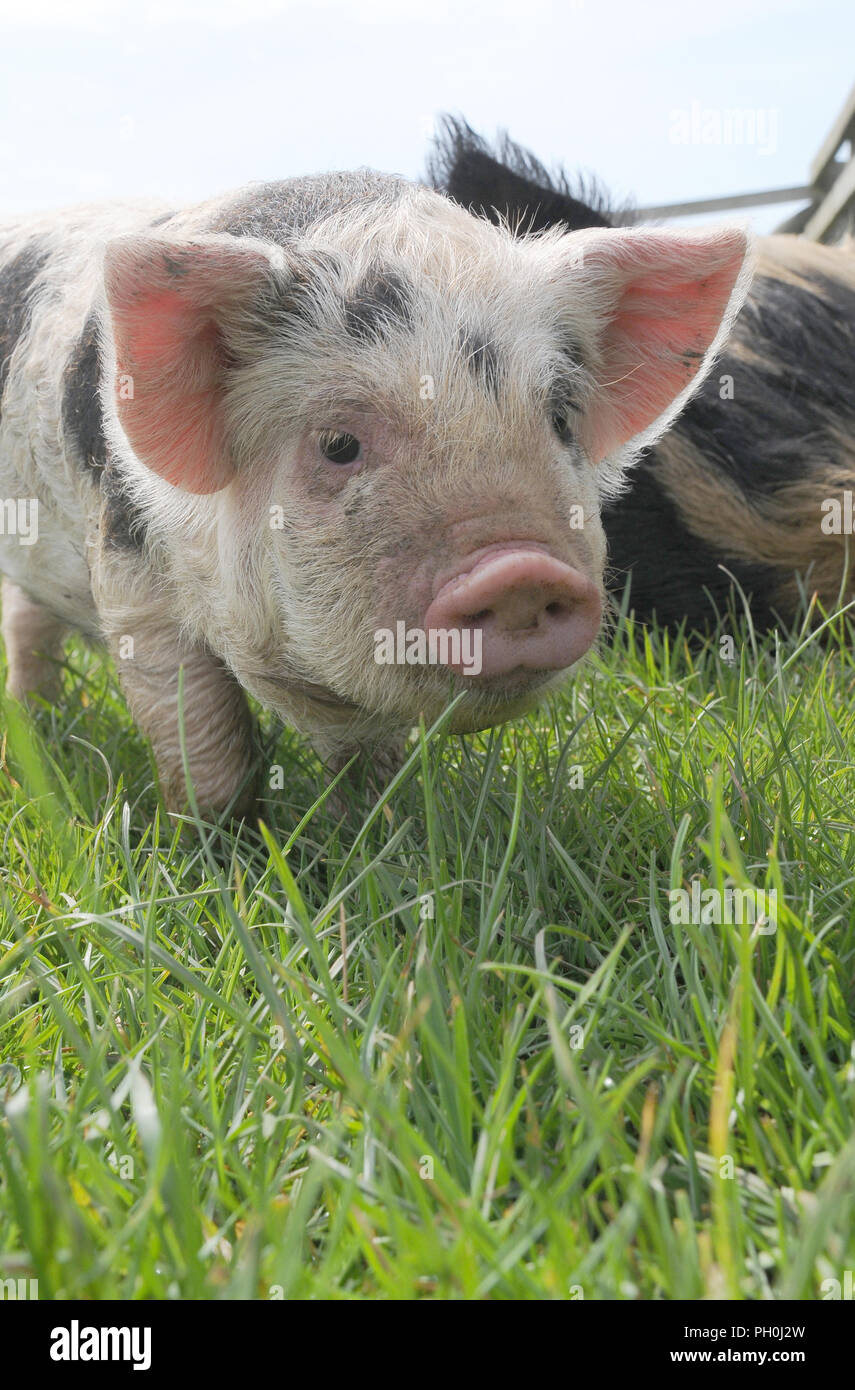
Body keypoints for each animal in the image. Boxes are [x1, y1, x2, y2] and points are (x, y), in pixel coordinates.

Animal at [0, 168, 750, 818]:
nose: (519, 570)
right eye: (338, 443)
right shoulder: (129, 573)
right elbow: (202, 738)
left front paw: (381, 831)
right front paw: (223, 853)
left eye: (561, 421)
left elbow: (368, 761)